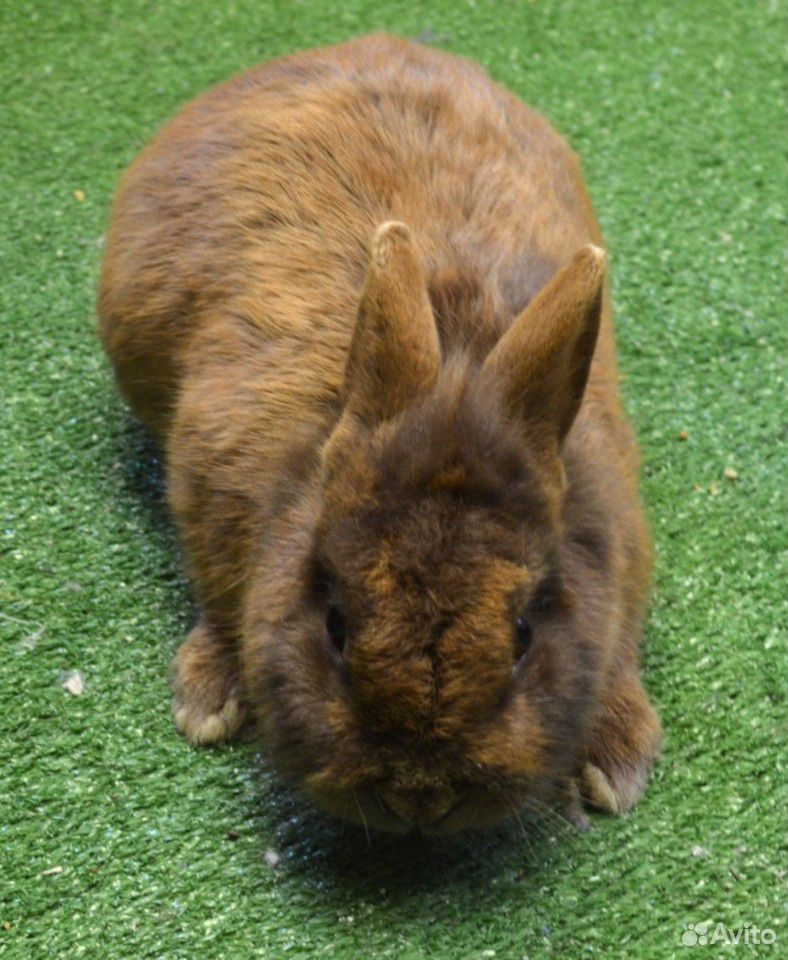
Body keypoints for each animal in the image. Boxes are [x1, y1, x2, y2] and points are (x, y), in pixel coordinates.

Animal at [98, 34, 661, 833]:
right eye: (334, 622)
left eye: (524, 633)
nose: (418, 797)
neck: (456, 369)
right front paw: (207, 701)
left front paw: (618, 761)